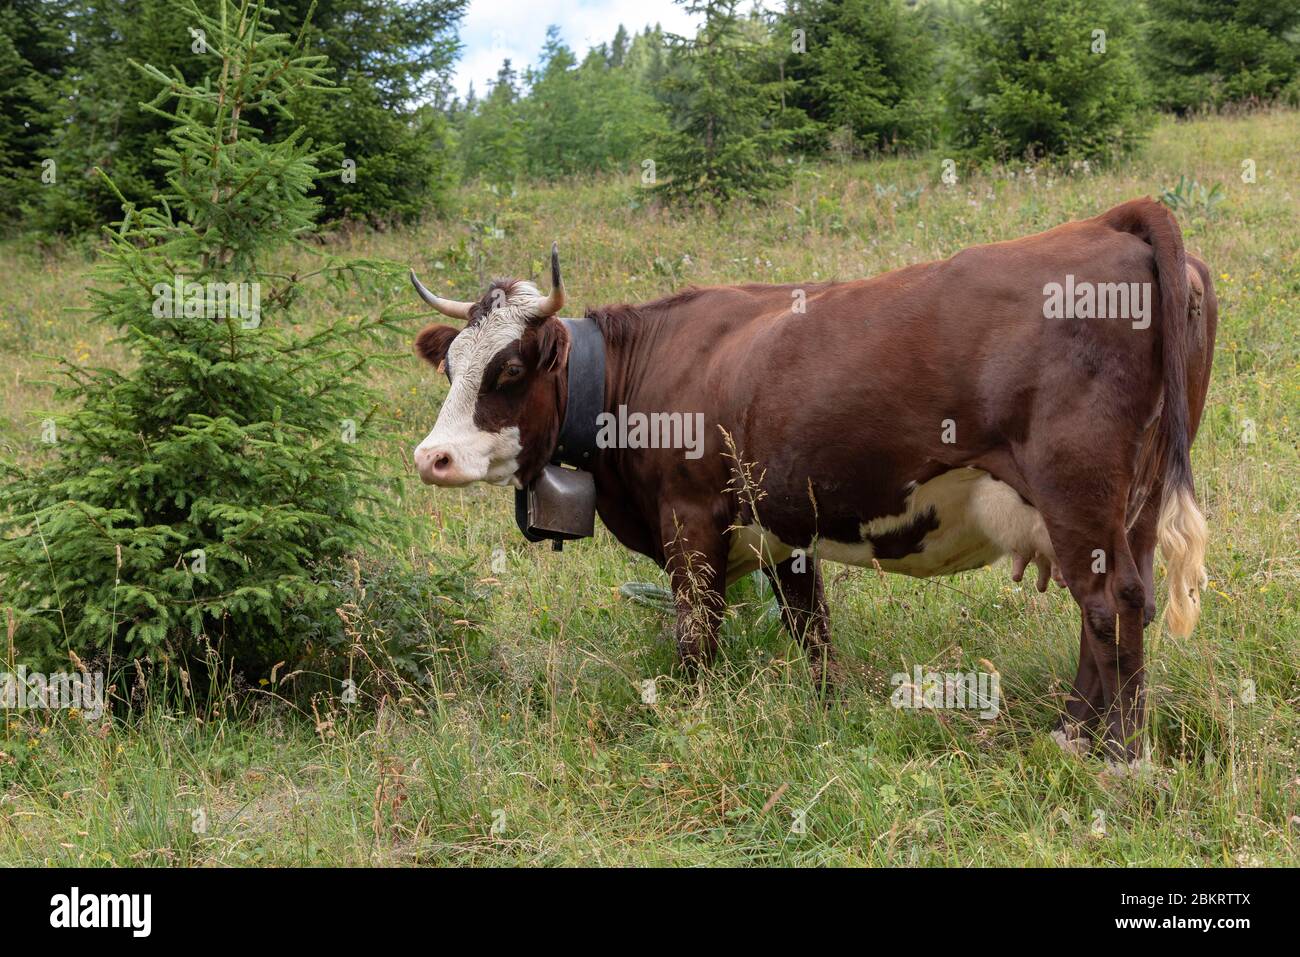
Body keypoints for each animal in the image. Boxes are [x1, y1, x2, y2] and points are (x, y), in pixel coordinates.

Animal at [408, 198, 1217, 766]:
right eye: (451, 366)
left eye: (510, 369)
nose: (432, 458)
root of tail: (1114, 220)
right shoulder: (785, 528)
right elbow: (811, 628)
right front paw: (830, 712)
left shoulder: (689, 519)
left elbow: (696, 633)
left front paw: (690, 718)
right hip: (1131, 504)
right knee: (1121, 603)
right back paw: (1073, 733)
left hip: (1076, 489)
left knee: (1112, 602)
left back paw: (1117, 755)